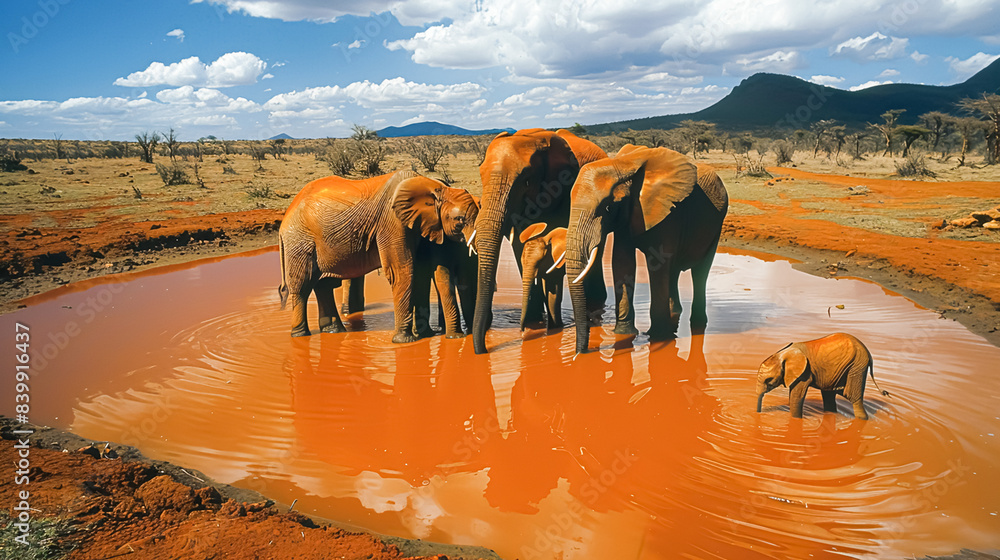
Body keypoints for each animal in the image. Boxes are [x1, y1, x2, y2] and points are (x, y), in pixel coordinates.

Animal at [278, 170, 478, 342]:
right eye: (460, 221)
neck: (433, 185)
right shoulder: (392, 222)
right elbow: (402, 270)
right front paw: (404, 341)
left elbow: (420, 271)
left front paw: (424, 336)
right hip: (299, 240)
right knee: (303, 285)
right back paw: (300, 335)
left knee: (323, 284)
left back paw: (334, 330)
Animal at [471, 128, 609, 354]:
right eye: (481, 176)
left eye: (526, 181)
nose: (483, 350)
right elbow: (521, 247)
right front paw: (534, 324)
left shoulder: (563, 188)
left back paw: (596, 306)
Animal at [564, 145, 729, 354]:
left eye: (608, 207)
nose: (580, 353)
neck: (622, 164)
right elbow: (622, 262)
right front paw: (624, 334)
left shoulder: (668, 211)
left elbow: (657, 264)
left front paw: (658, 337)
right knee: (673, 270)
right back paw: (675, 313)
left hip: (716, 226)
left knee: (700, 272)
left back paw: (697, 324)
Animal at [755, 333, 890, 420]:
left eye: (769, 381)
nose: (759, 414)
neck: (783, 353)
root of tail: (869, 354)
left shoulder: (805, 372)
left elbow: (796, 397)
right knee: (830, 395)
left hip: (856, 366)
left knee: (853, 397)